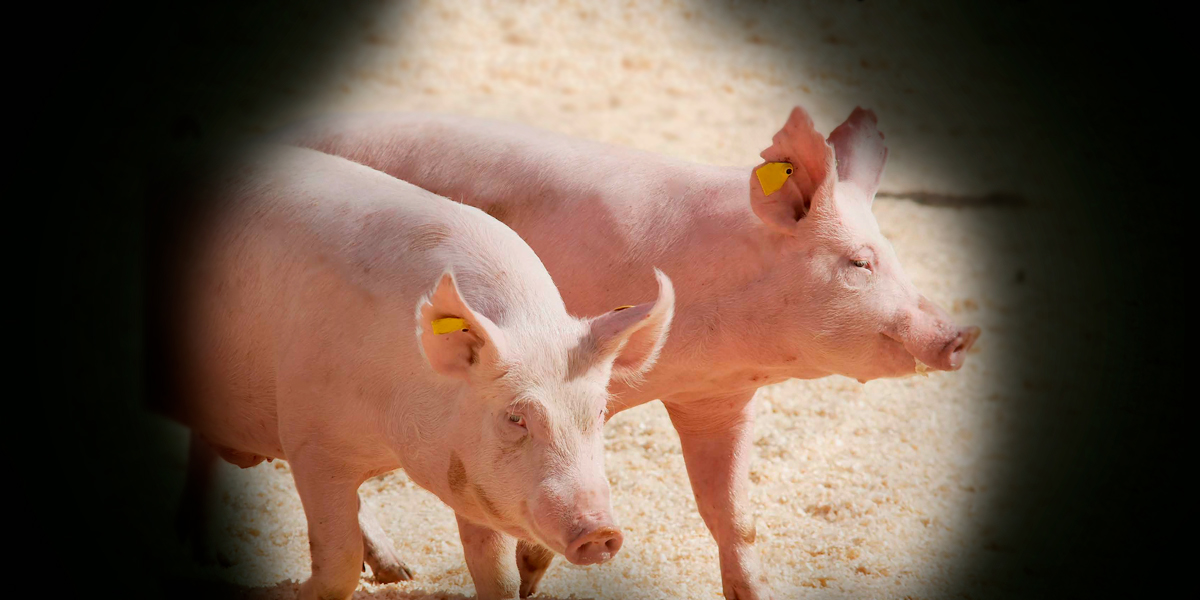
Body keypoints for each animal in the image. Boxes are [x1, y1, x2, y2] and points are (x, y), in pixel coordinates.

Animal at [159, 144, 675, 600]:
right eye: (515, 418)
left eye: (600, 412)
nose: (601, 532)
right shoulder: (310, 440)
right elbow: (337, 561)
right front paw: (293, 592)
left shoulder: (472, 477)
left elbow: (495, 574)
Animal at [273, 105, 979, 600]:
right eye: (860, 262)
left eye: (896, 255)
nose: (960, 335)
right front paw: (531, 575)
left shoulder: (717, 398)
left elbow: (734, 517)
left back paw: (397, 572)